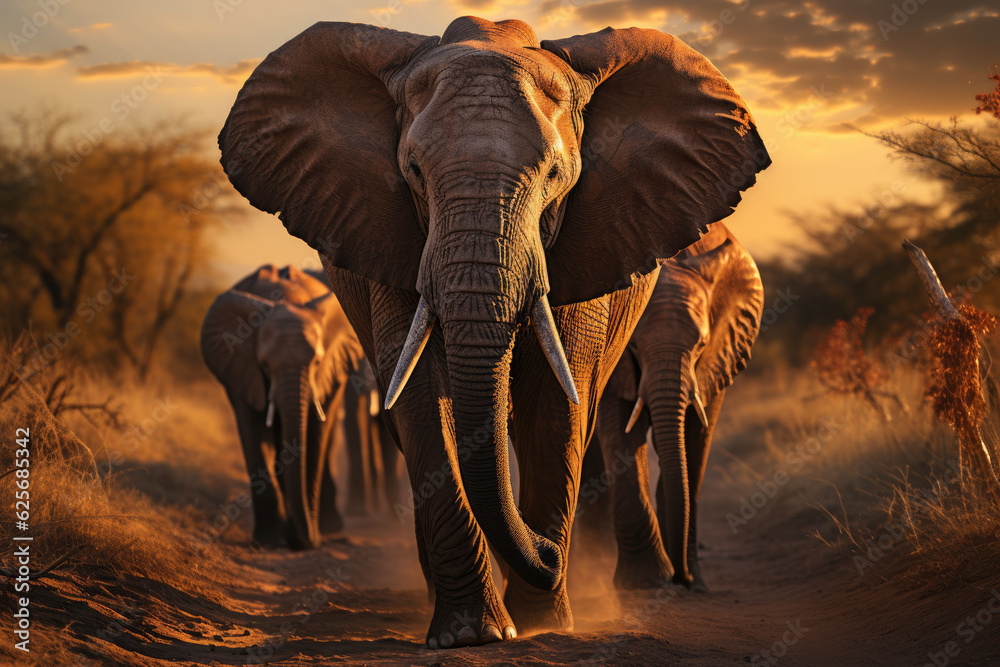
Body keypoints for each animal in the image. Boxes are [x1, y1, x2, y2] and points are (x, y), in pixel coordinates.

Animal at [200, 264, 367, 549]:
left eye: (316, 363)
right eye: (265, 364)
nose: (308, 541)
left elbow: (314, 438)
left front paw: (305, 537)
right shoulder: (242, 368)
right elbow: (254, 435)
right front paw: (268, 541)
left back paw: (327, 527)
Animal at [589, 222, 763, 593]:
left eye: (701, 344)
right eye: (633, 345)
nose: (682, 577)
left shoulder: (717, 357)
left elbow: (695, 439)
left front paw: (695, 581)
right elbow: (621, 435)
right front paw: (646, 582)